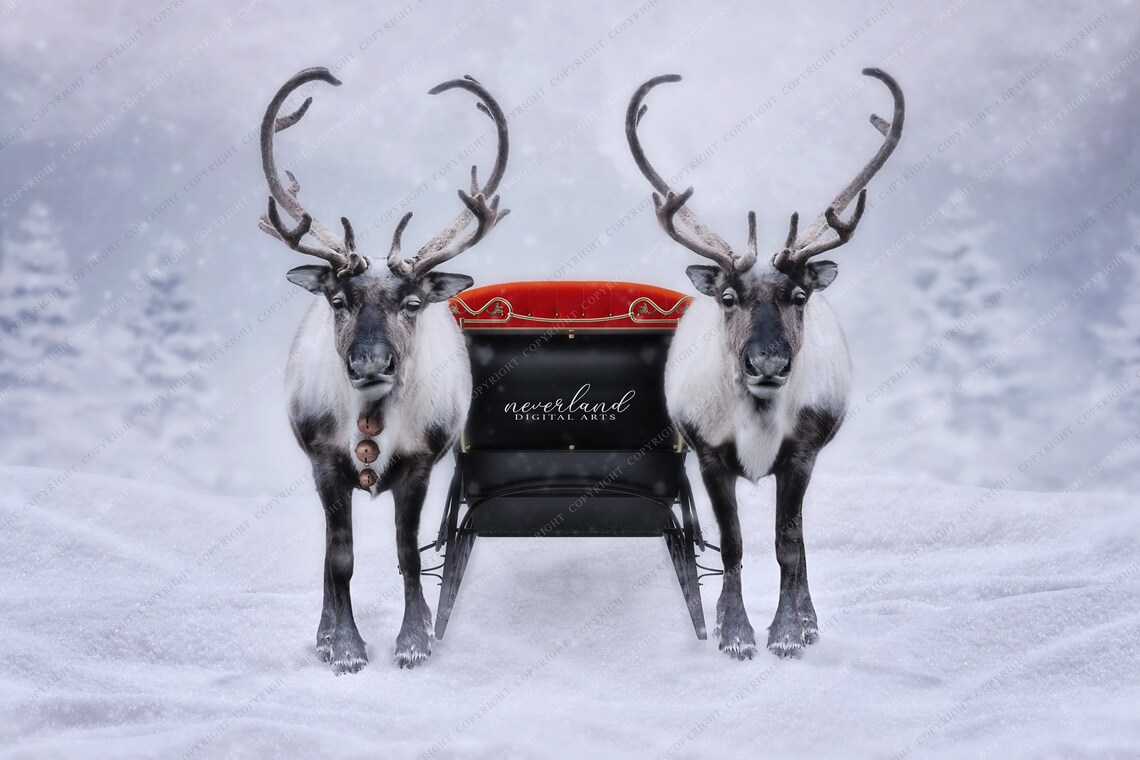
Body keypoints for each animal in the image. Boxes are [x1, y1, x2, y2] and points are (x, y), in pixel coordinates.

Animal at [258, 67, 509, 672]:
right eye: (338, 301)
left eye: (412, 303)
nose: (370, 361)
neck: (370, 422)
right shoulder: (325, 462)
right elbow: (340, 558)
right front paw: (346, 647)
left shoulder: (418, 465)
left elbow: (408, 554)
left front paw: (415, 639)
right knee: (330, 553)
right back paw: (325, 634)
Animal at [625, 68, 904, 659]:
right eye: (728, 297)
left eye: (798, 295)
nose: (769, 364)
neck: (757, 419)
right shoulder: (709, 455)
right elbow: (732, 545)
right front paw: (734, 633)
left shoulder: (801, 453)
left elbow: (788, 545)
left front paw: (787, 632)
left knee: (797, 539)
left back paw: (810, 621)